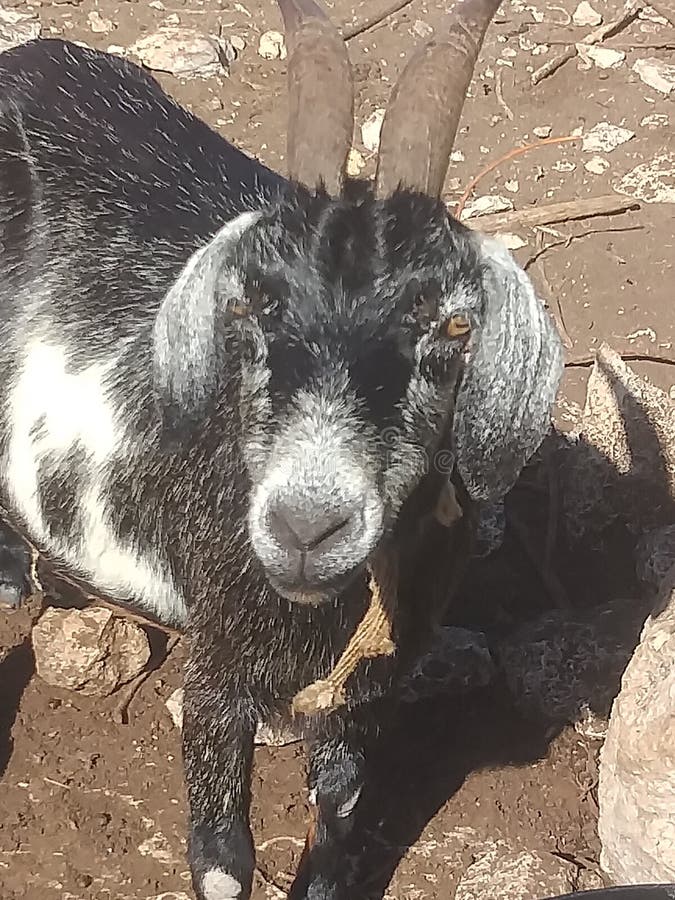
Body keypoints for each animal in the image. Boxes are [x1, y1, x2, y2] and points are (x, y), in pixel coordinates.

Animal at [0, 0, 563, 897]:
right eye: (246, 306)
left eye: (452, 324)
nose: (306, 526)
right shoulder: (217, 670)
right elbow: (221, 858)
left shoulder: (358, 701)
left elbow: (335, 835)